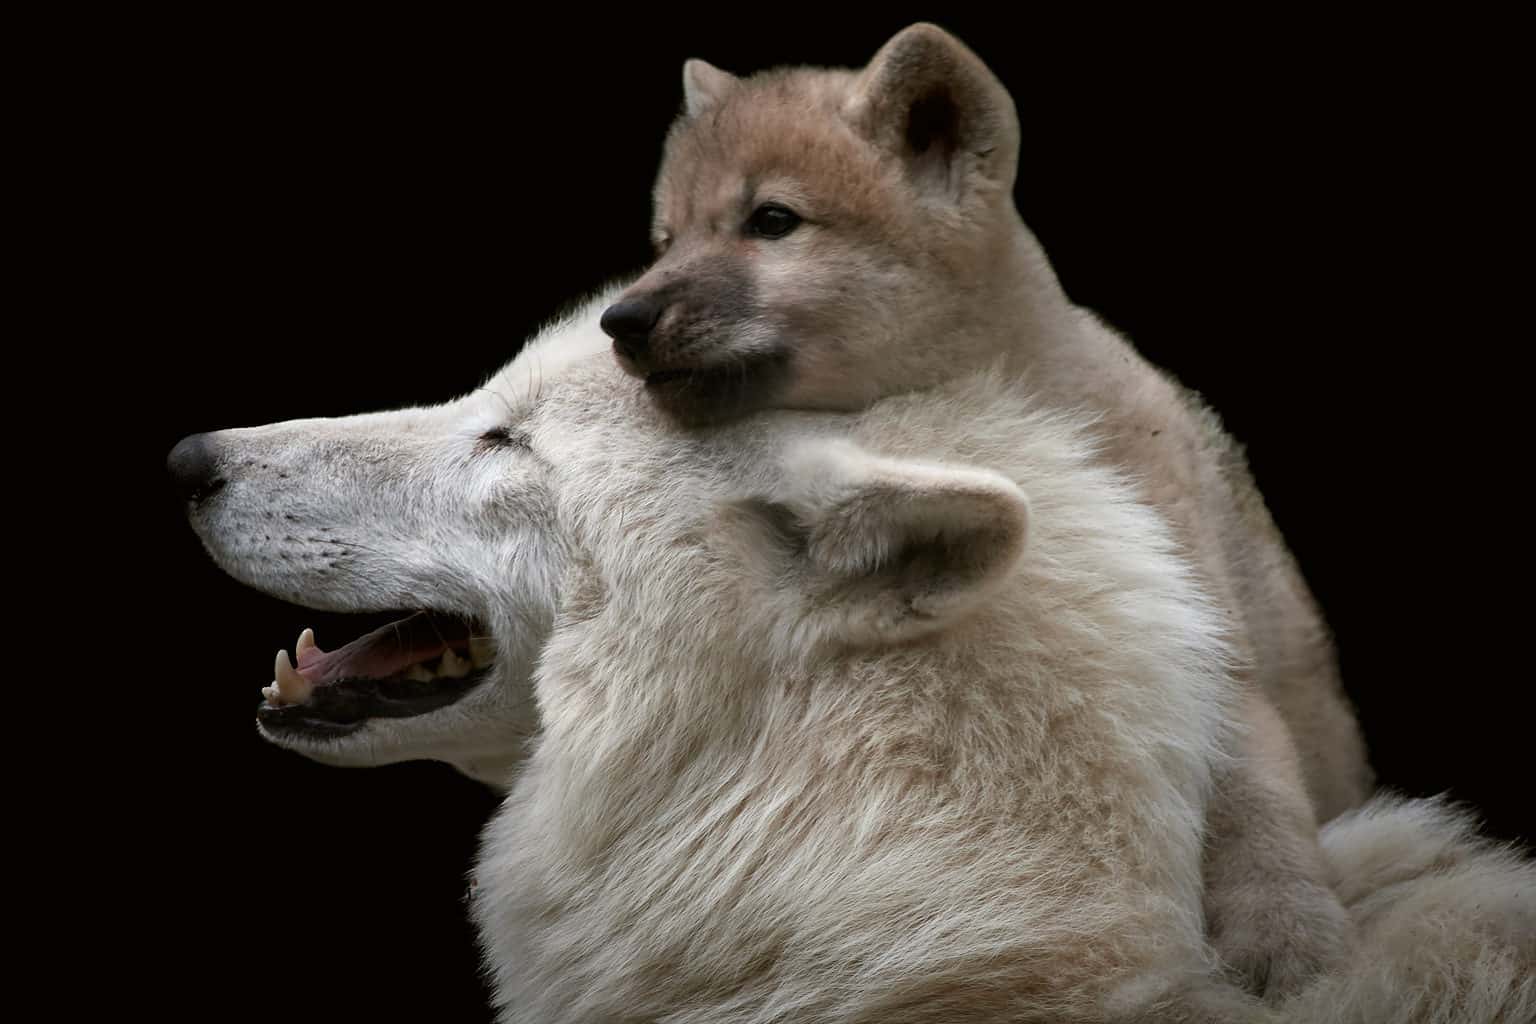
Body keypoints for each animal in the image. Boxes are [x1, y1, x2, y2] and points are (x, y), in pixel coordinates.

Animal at [597, 22, 1373, 996]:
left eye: (771, 221)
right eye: (666, 238)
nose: (621, 319)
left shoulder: (1208, 642)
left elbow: (1252, 798)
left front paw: (1286, 937)